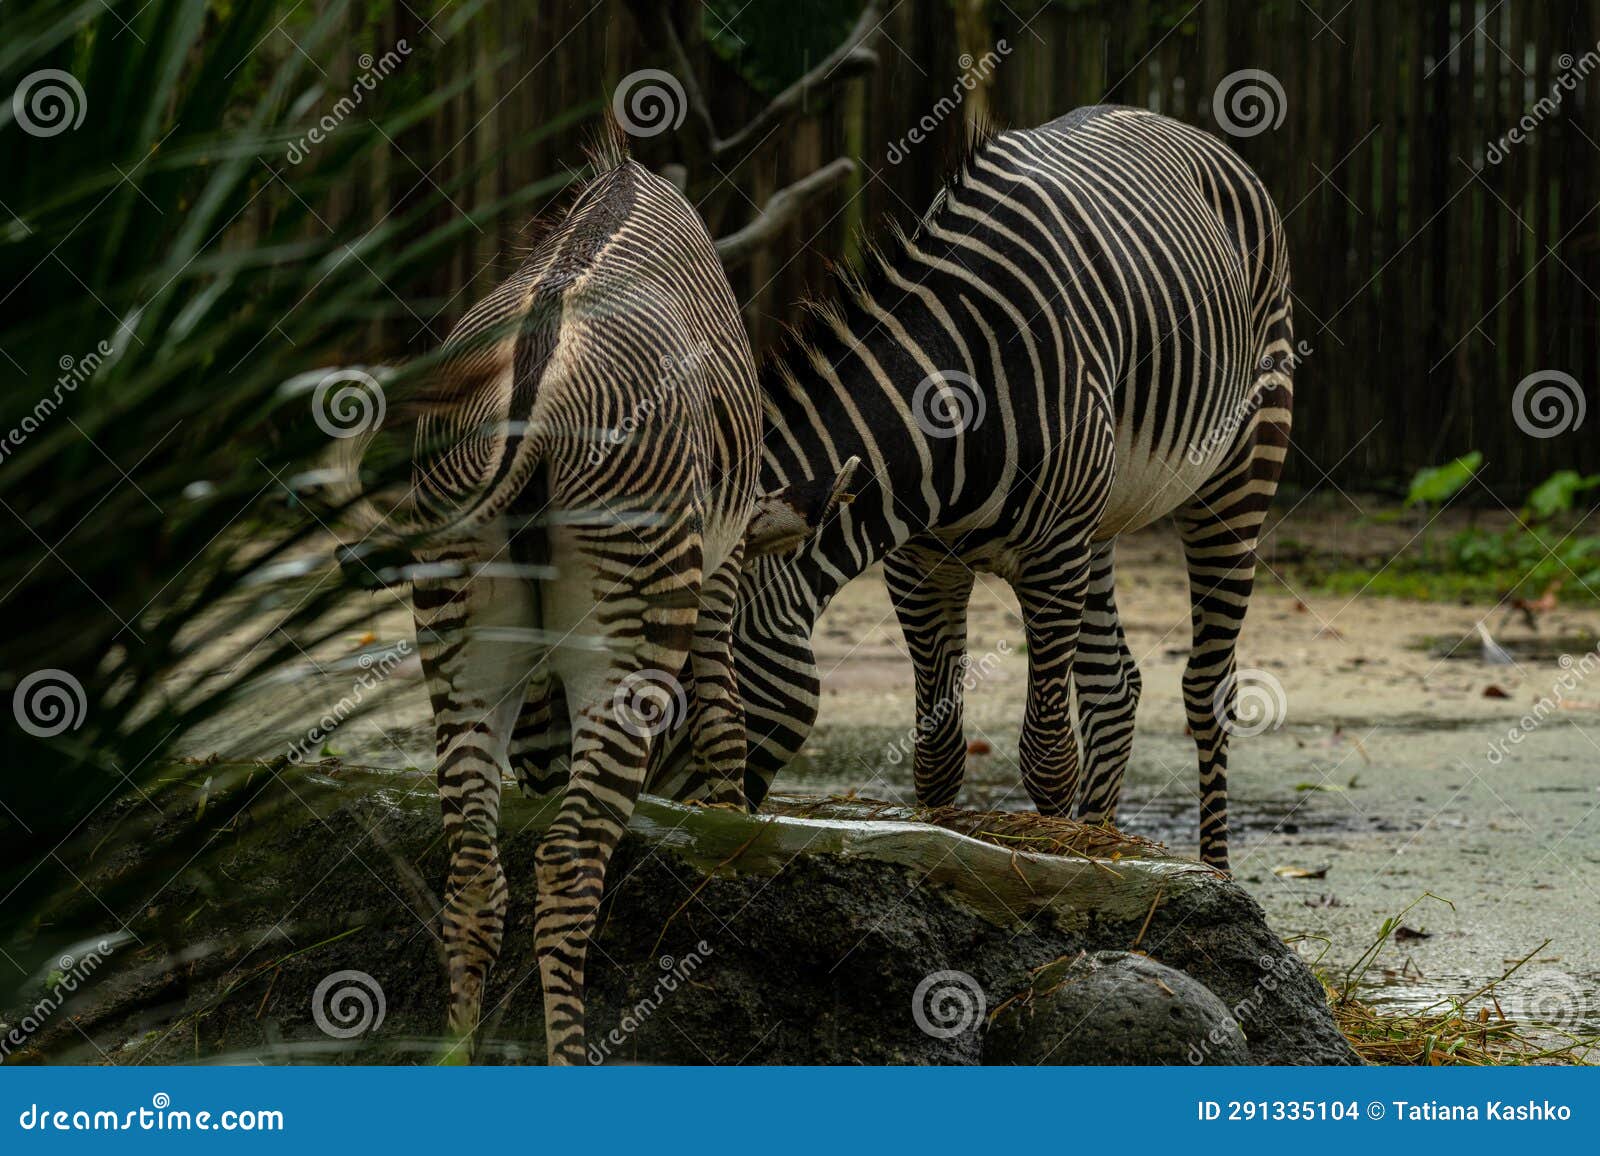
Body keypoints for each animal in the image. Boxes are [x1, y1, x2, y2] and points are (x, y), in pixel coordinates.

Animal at [335, 130, 847, 1064]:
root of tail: (534, 387)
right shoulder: (718, 564)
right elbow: (724, 712)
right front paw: (724, 834)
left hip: (461, 641)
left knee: (474, 874)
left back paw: (458, 1048)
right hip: (626, 643)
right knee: (567, 867)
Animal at [638, 105, 1295, 870]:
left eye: (683, 686)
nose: (645, 841)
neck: (954, 398)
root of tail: (1177, 124)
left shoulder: (1050, 561)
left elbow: (1047, 755)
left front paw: (1055, 862)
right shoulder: (920, 564)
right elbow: (938, 751)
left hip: (1241, 467)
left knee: (1207, 688)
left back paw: (1214, 871)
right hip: (1098, 521)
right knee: (1115, 688)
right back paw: (1105, 842)